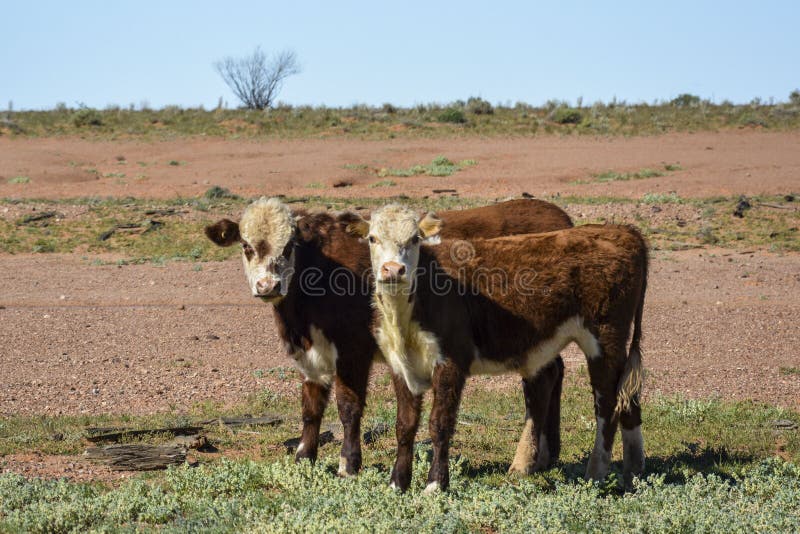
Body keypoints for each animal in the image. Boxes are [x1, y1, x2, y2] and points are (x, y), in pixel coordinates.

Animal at [205, 197, 573, 478]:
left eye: (290, 245)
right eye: (245, 245)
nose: (268, 286)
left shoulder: (352, 349)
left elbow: (348, 407)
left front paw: (347, 465)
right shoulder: (311, 354)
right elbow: (311, 406)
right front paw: (303, 457)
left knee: (539, 384)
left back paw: (525, 462)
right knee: (553, 373)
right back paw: (547, 455)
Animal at [347, 204, 648, 492]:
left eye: (414, 239)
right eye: (372, 238)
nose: (393, 270)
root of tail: (623, 231)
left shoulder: (452, 362)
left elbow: (440, 424)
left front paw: (435, 484)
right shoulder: (401, 365)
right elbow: (405, 425)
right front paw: (397, 483)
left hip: (605, 338)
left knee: (607, 402)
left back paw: (596, 474)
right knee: (622, 396)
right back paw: (632, 470)